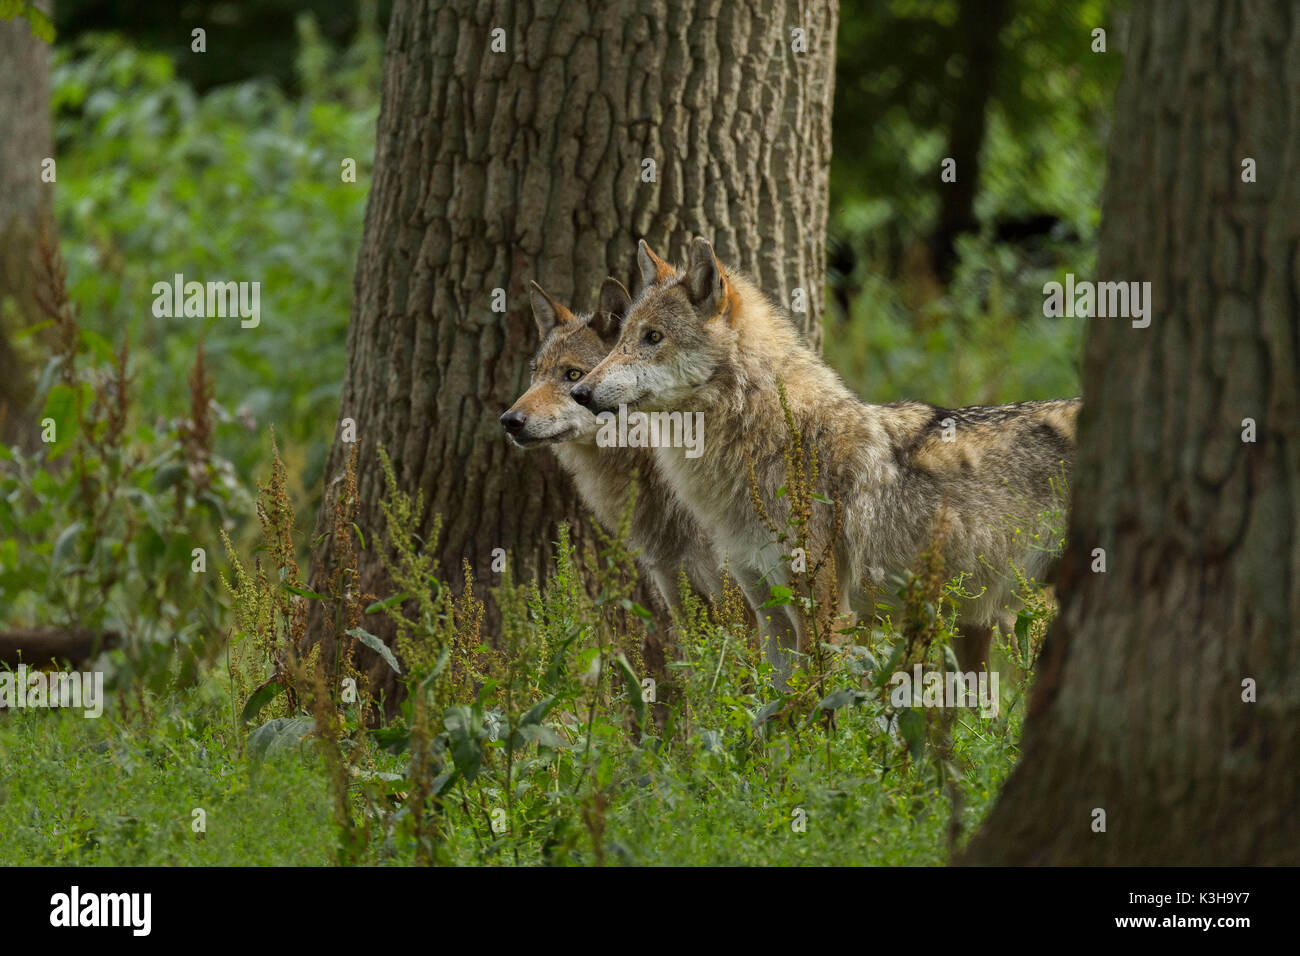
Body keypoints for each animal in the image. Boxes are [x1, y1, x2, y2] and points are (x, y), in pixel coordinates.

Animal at [572, 238, 1079, 677]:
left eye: (653, 337)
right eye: (622, 338)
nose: (580, 393)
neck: (766, 442)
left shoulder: (826, 614)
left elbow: (820, 712)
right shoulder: (768, 613)